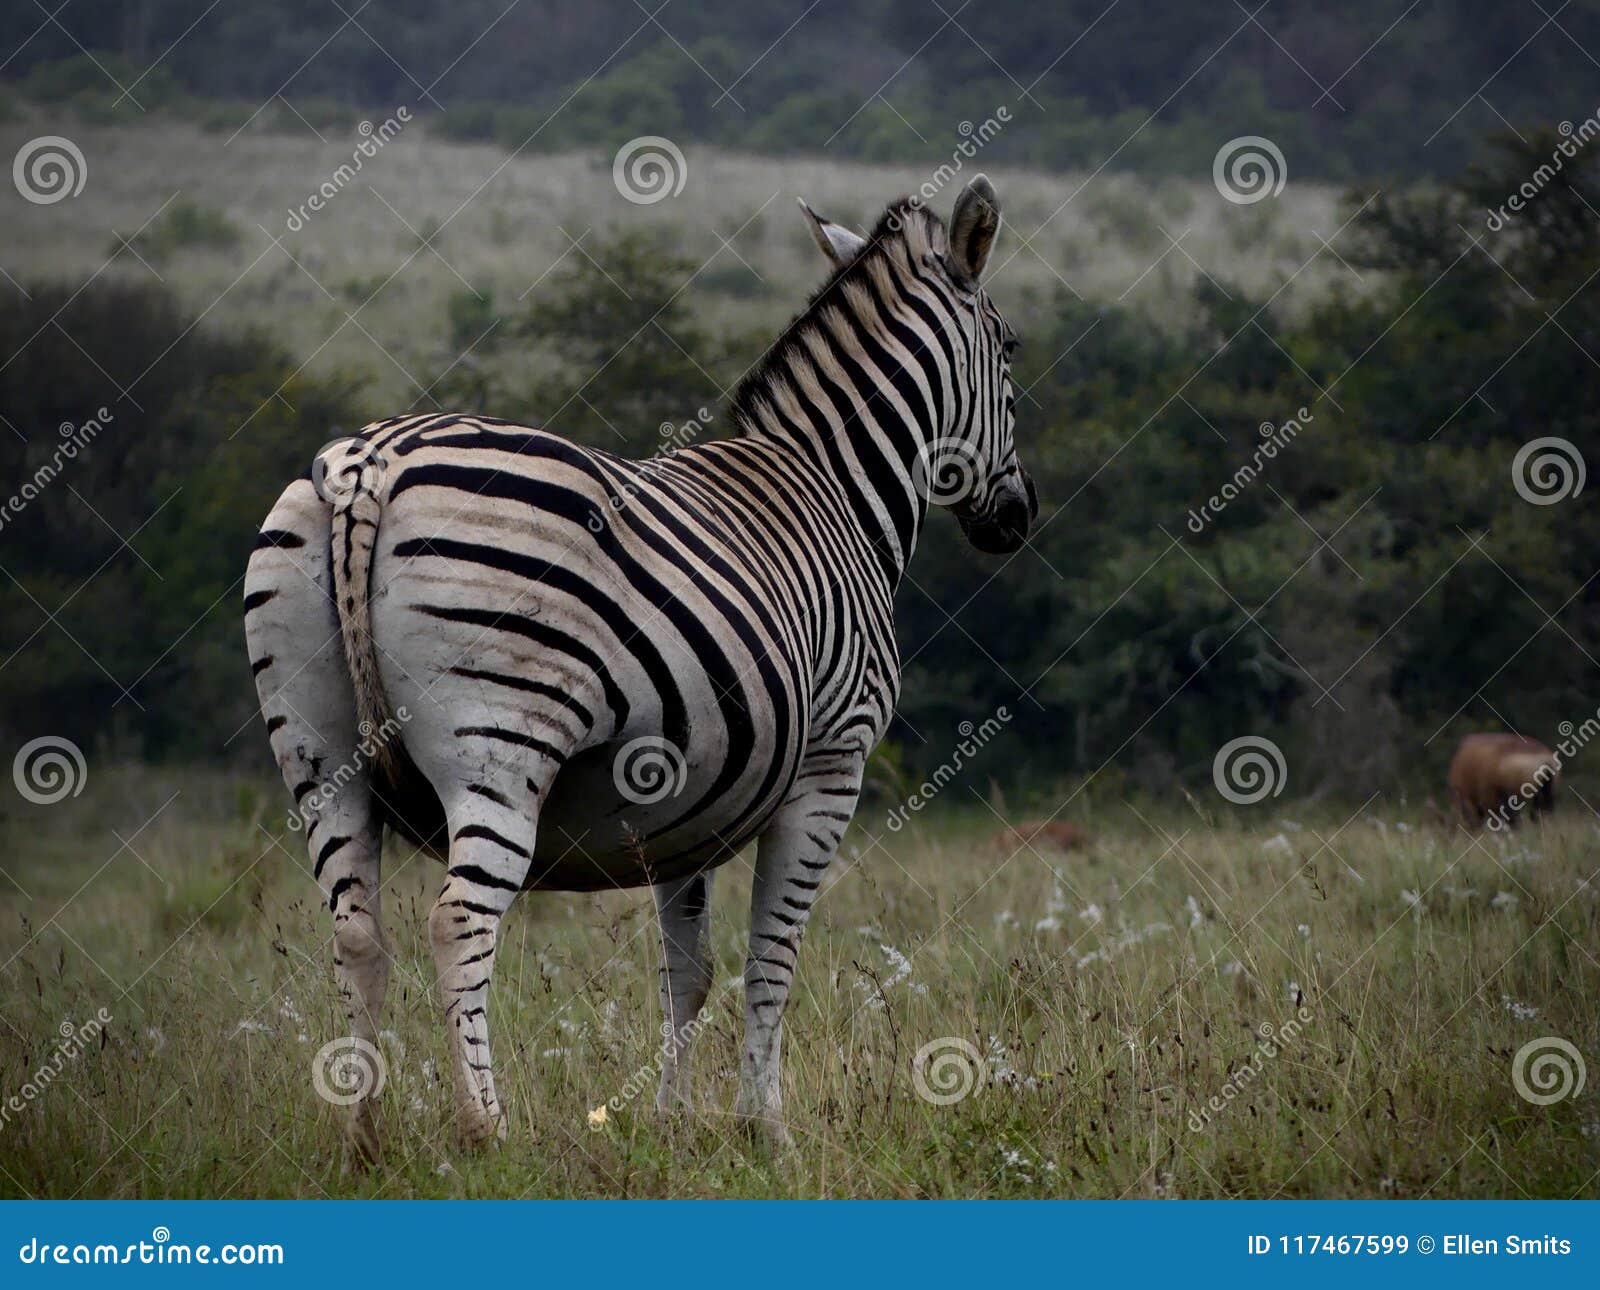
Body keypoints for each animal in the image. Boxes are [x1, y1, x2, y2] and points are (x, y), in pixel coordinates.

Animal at [244, 175, 1034, 1157]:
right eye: (1011, 348)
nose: (1017, 520)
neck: (837, 490)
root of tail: (371, 463)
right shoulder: (832, 763)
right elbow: (771, 960)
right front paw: (765, 1130)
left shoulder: (685, 799)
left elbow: (687, 971)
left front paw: (671, 1125)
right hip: (500, 742)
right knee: (458, 921)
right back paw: (483, 1130)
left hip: (317, 754)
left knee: (357, 933)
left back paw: (364, 1136)